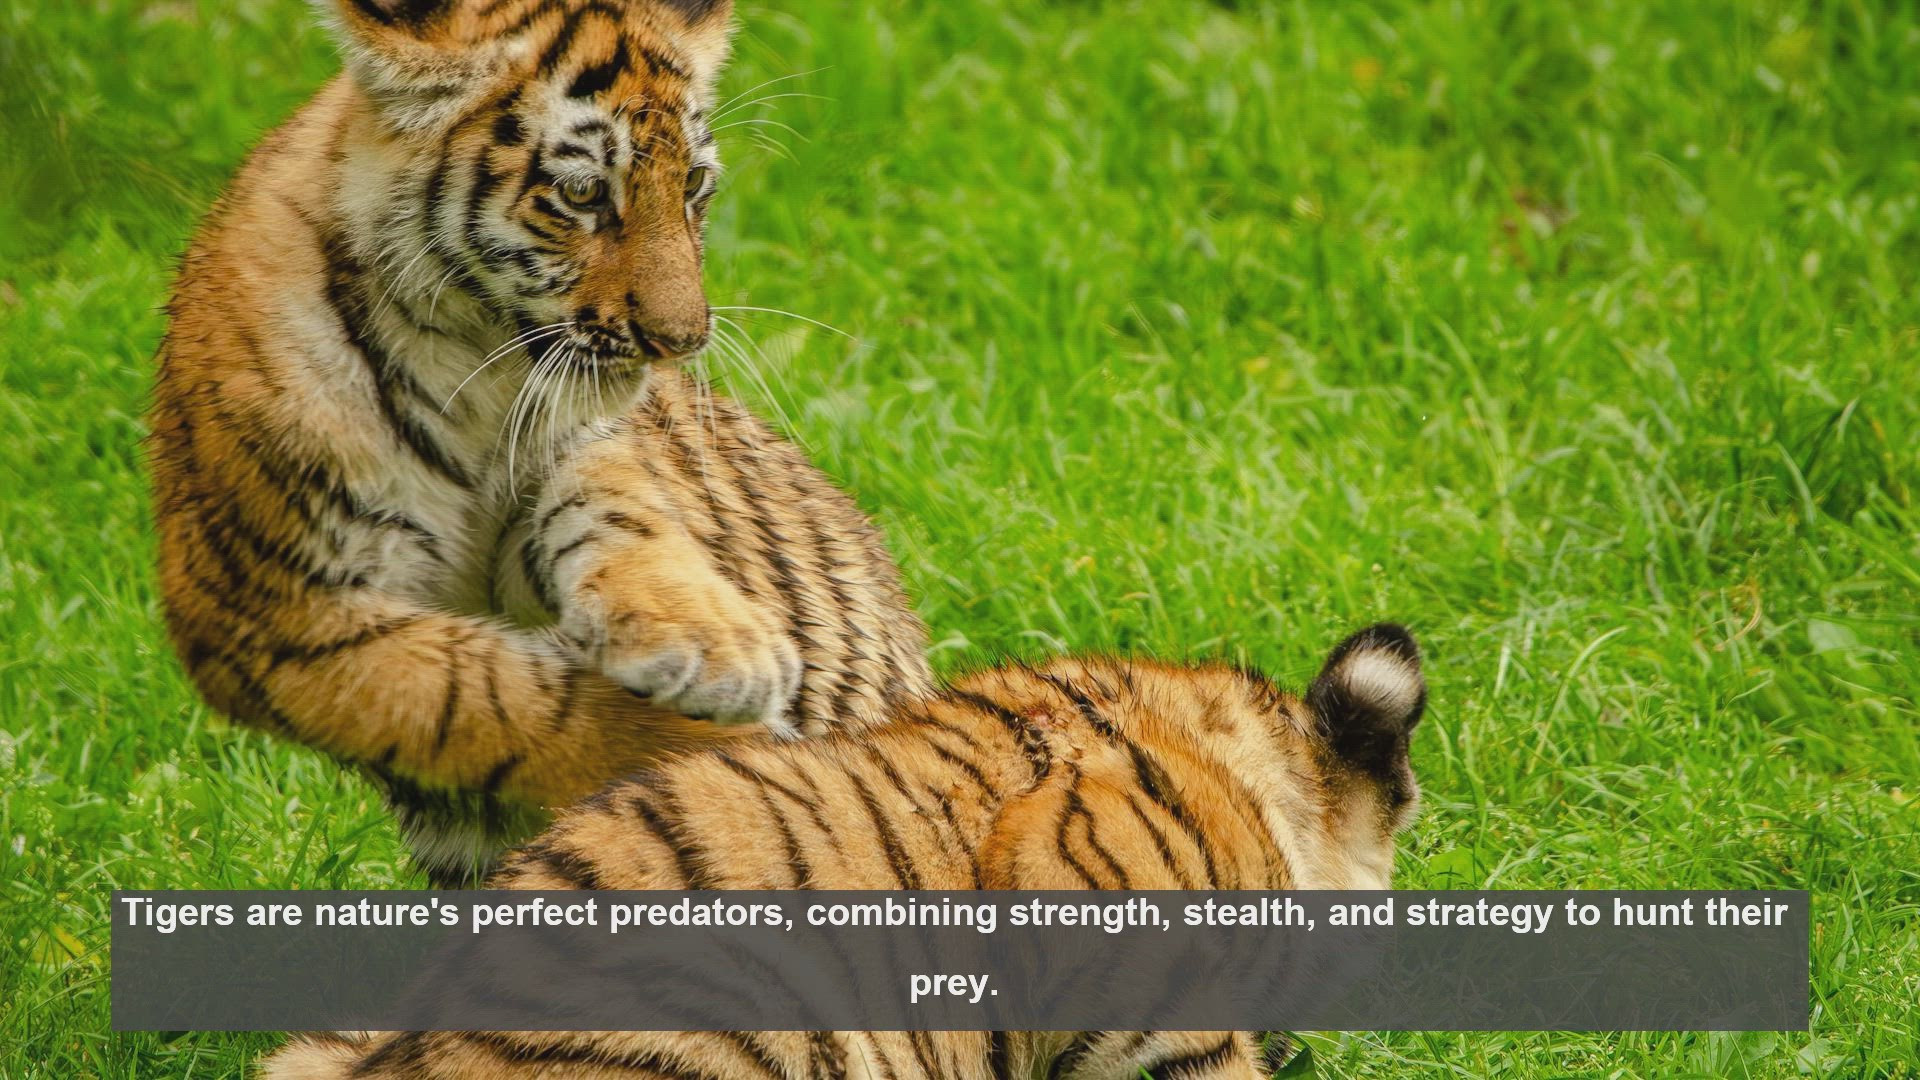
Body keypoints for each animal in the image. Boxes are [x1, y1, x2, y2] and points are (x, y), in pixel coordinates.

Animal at [145, 0, 933, 886]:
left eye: (692, 183)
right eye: (583, 193)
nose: (680, 341)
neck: (468, 358)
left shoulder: (575, 441)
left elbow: (620, 511)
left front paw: (716, 643)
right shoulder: (265, 614)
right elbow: (479, 695)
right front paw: (700, 747)